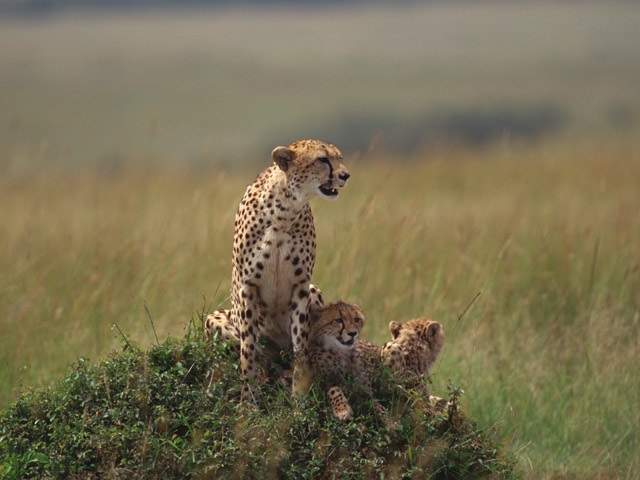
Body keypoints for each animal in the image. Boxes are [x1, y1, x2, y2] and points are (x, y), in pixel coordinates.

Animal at [221, 140, 350, 401]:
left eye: (339, 158)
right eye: (322, 159)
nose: (345, 175)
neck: (285, 210)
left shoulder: (301, 286)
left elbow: (301, 344)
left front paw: (299, 394)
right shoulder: (247, 287)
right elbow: (248, 350)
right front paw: (248, 399)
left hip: (314, 291)